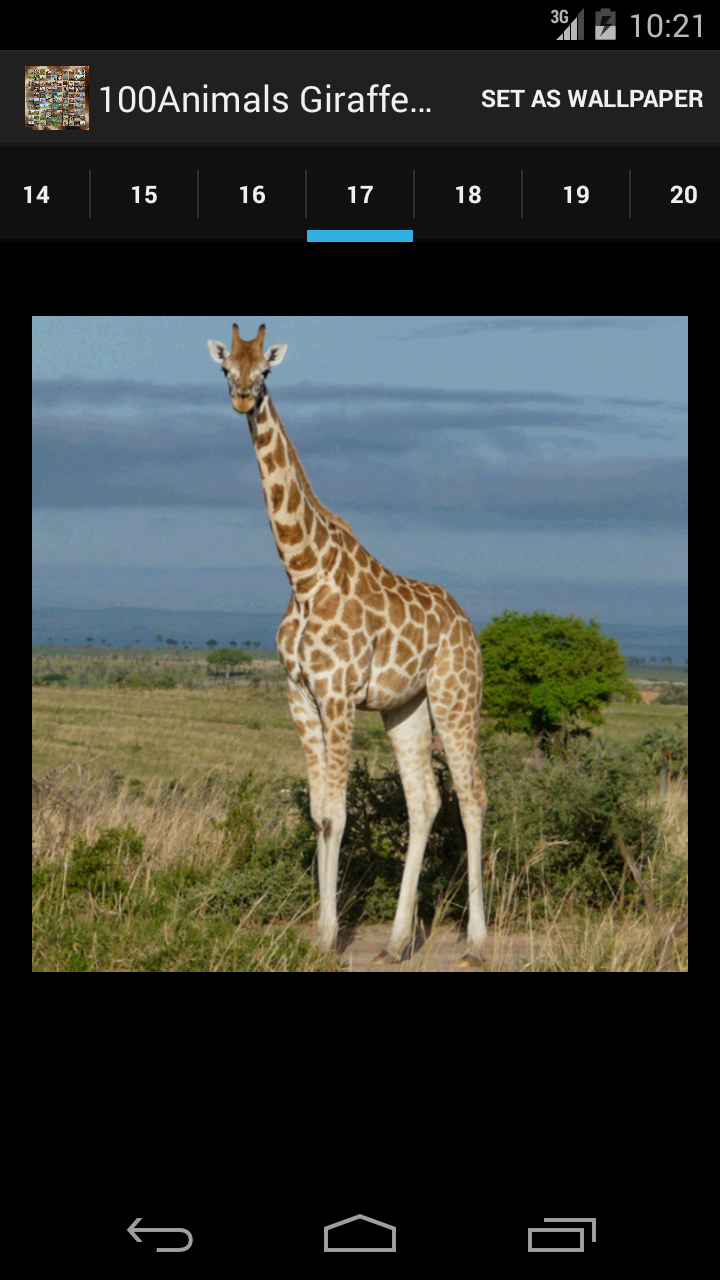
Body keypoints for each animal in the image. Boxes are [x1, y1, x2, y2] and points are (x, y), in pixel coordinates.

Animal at [208, 323, 488, 966]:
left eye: (266, 370)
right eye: (226, 367)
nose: (242, 397)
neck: (302, 572)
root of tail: (468, 624)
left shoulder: (337, 695)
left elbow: (336, 818)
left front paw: (328, 938)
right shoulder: (299, 695)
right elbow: (318, 816)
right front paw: (322, 931)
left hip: (456, 697)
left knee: (472, 796)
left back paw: (477, 942)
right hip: (405, 707)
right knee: (424, 801)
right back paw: (397, 941)